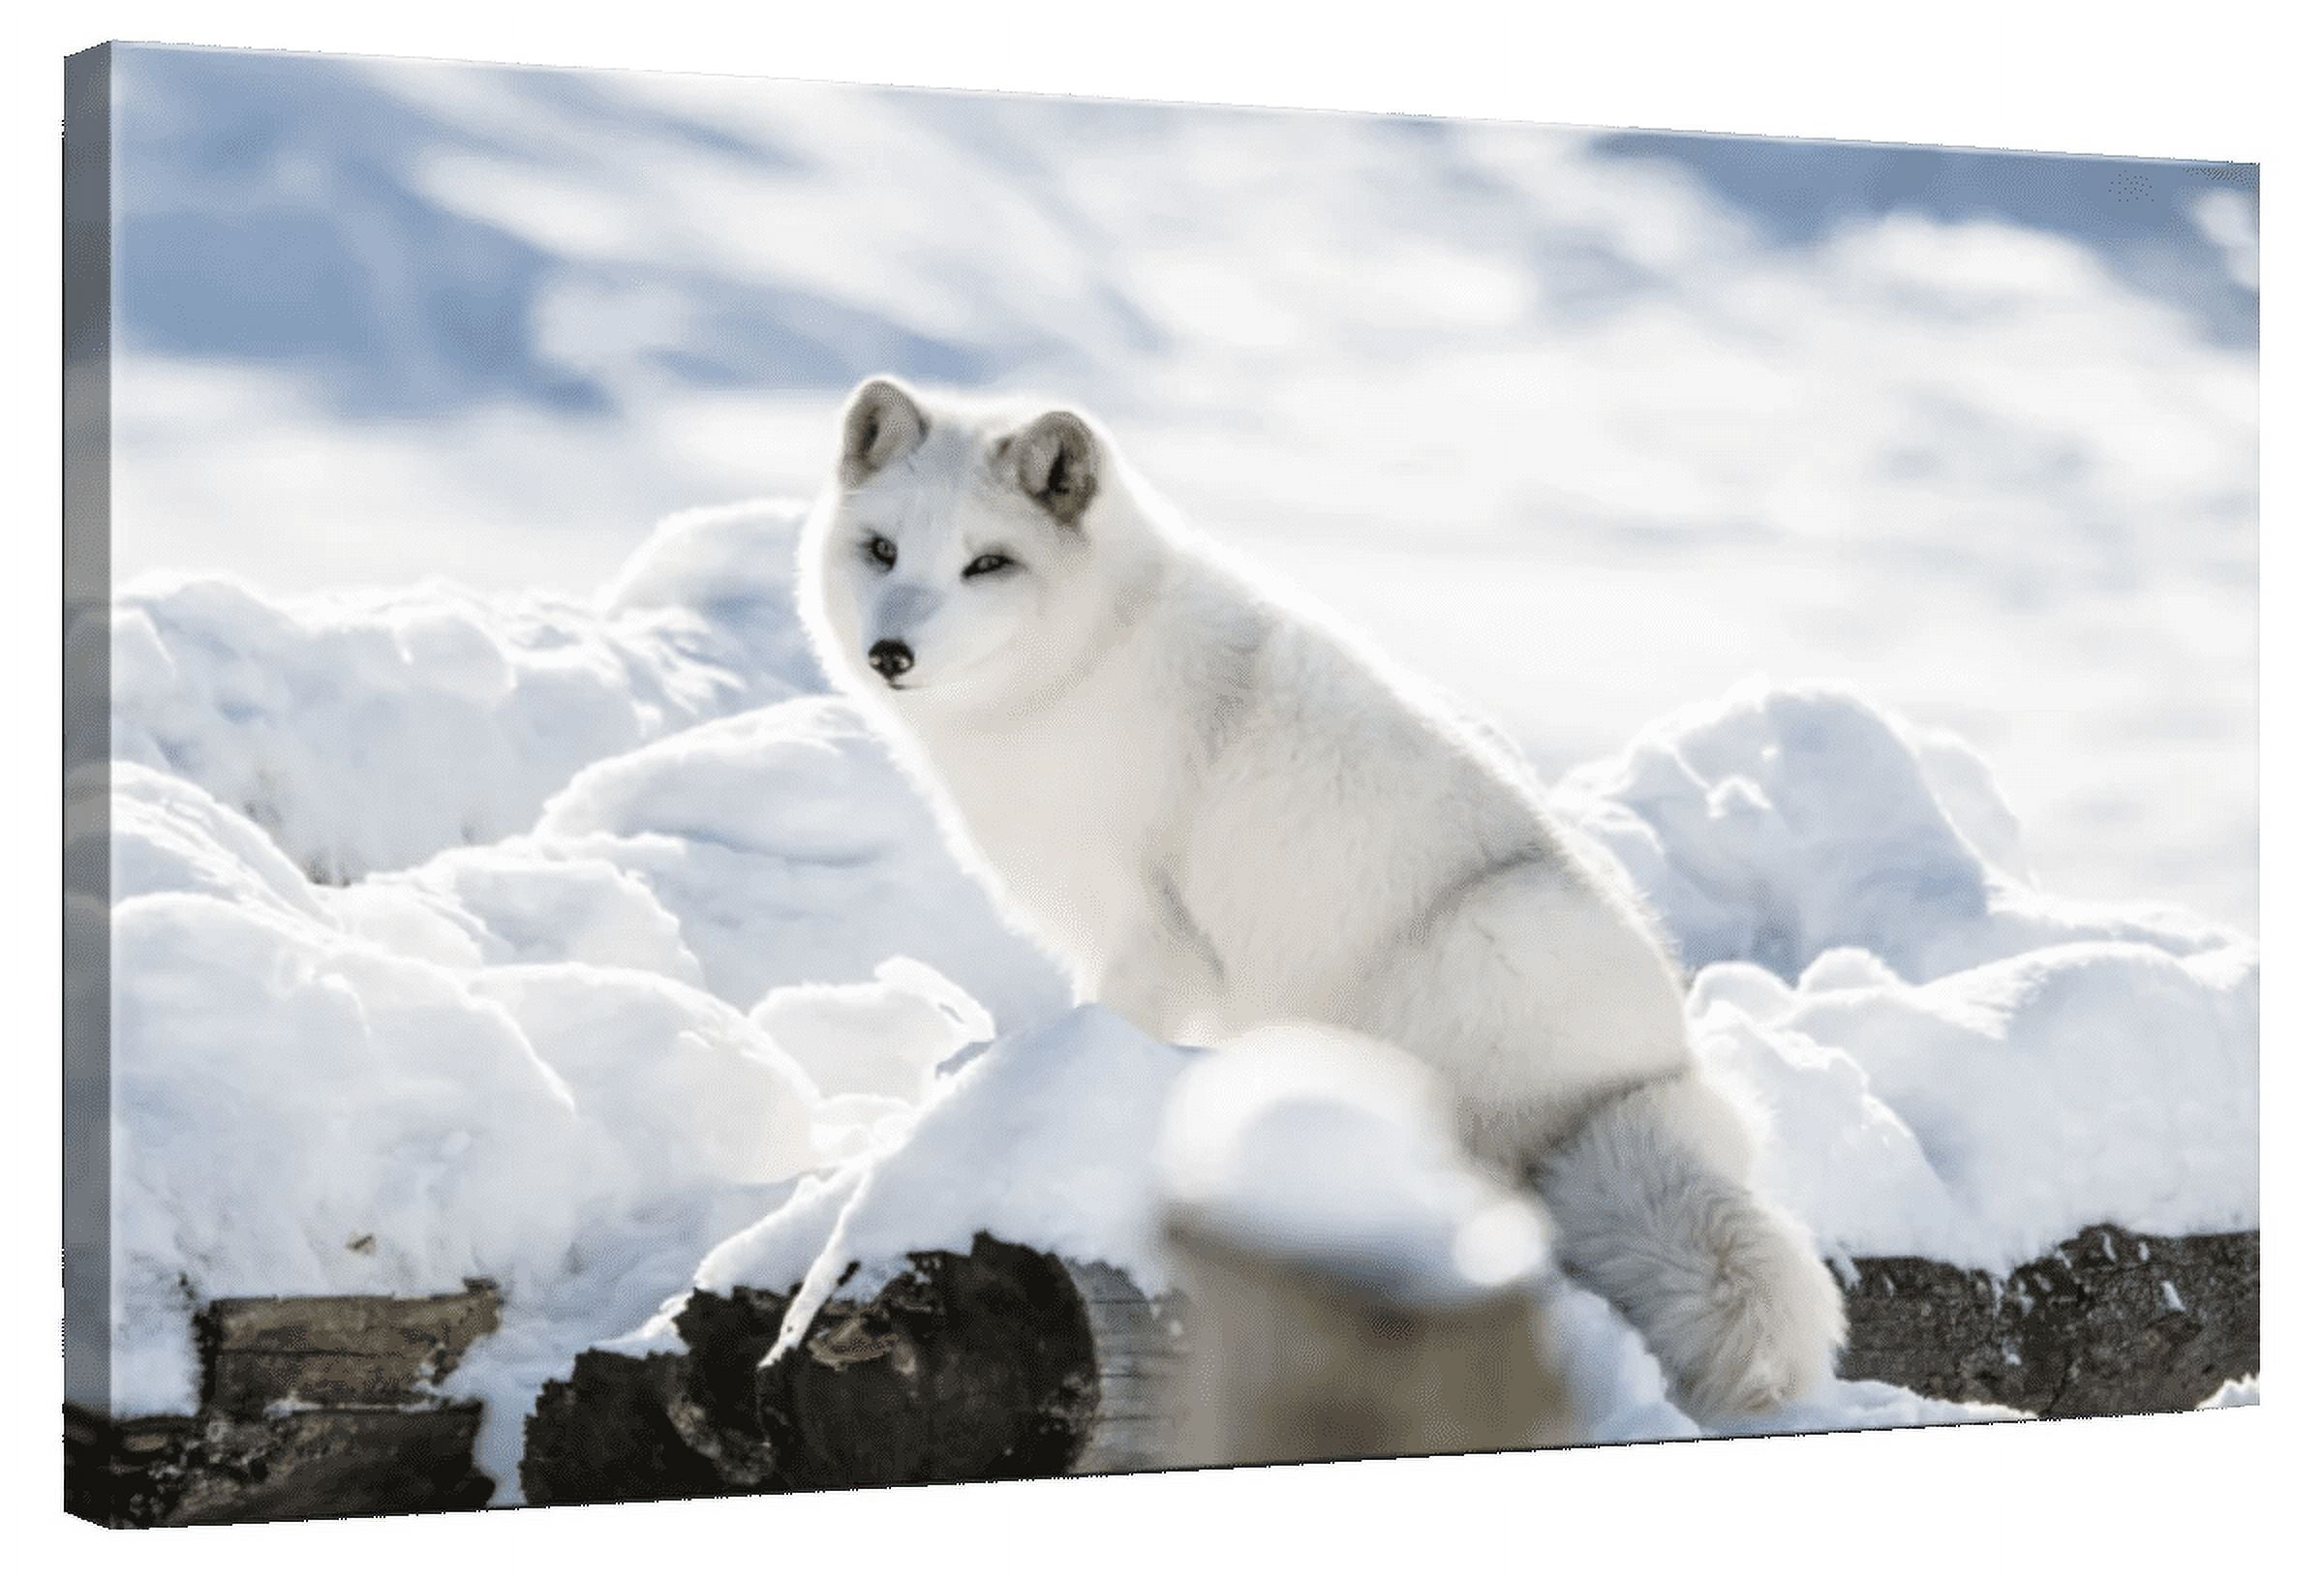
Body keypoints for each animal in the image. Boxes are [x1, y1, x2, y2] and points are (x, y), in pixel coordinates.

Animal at [795, 375, 1845, 1420]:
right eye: (883, 549)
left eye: (988, 564)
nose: (890, 653)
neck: (1087, 659)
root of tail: (1663, 1073)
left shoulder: (1151, 934)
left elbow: (1100, 1027)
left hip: (1476, 950)